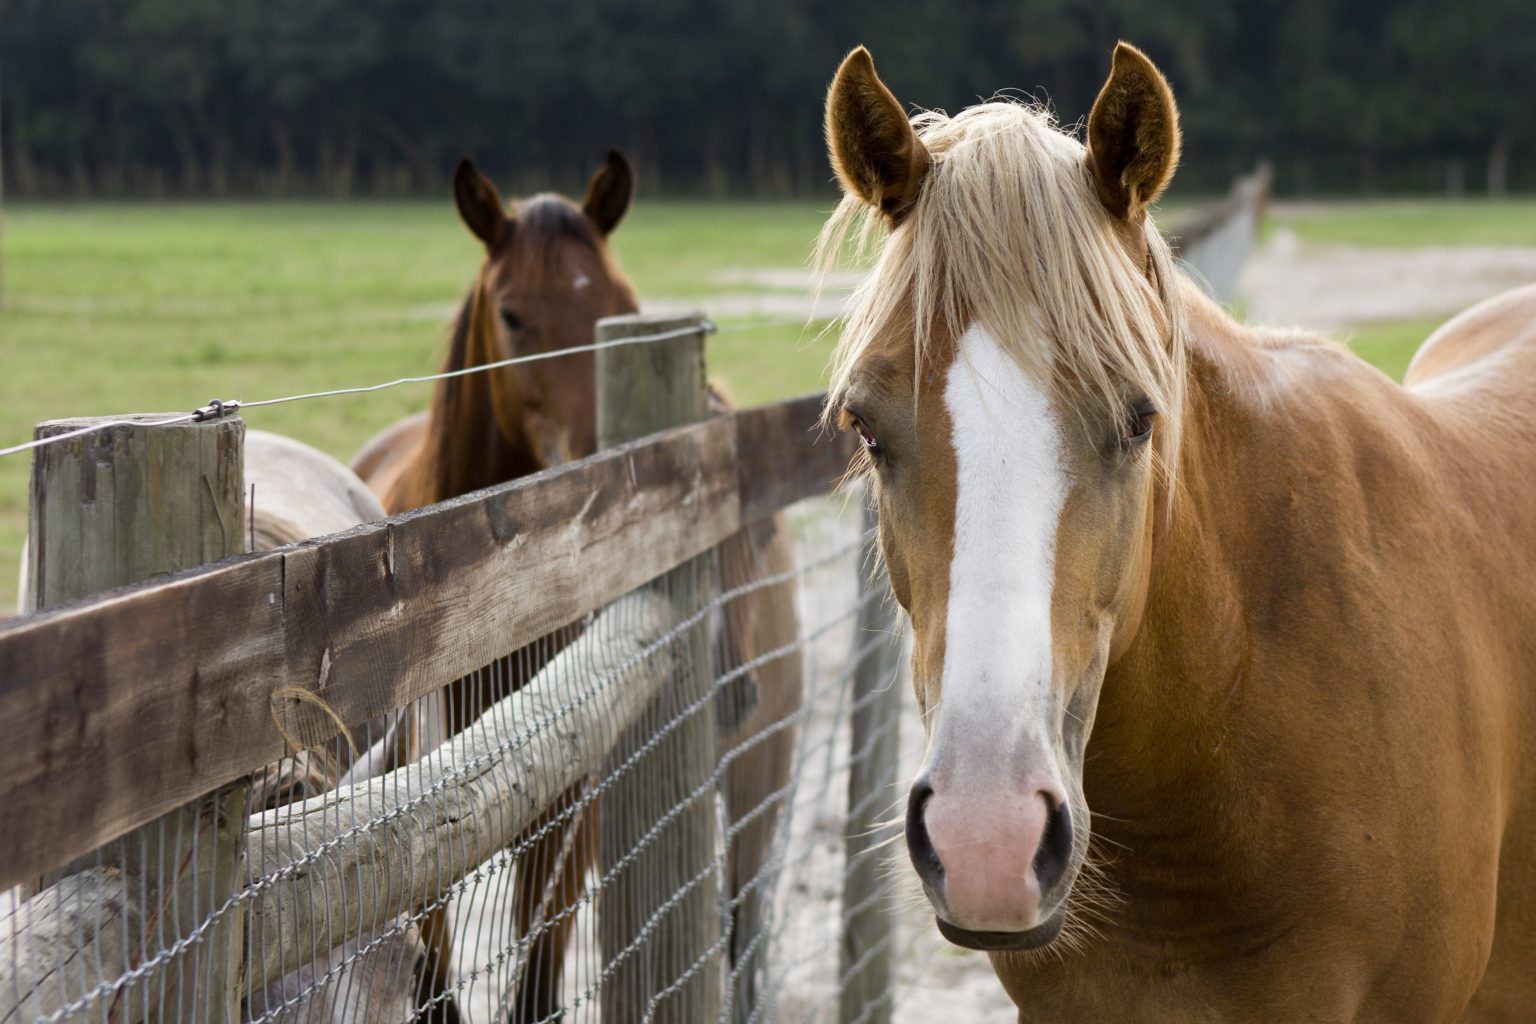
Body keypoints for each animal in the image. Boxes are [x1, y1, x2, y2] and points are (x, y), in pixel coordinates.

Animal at [351, 152, 803, 1023]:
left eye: (620, 308)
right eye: (513, 315)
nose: (600, 461)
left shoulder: (565, 813)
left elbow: (537, 985)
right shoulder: (411, 833)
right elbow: (434, 983)